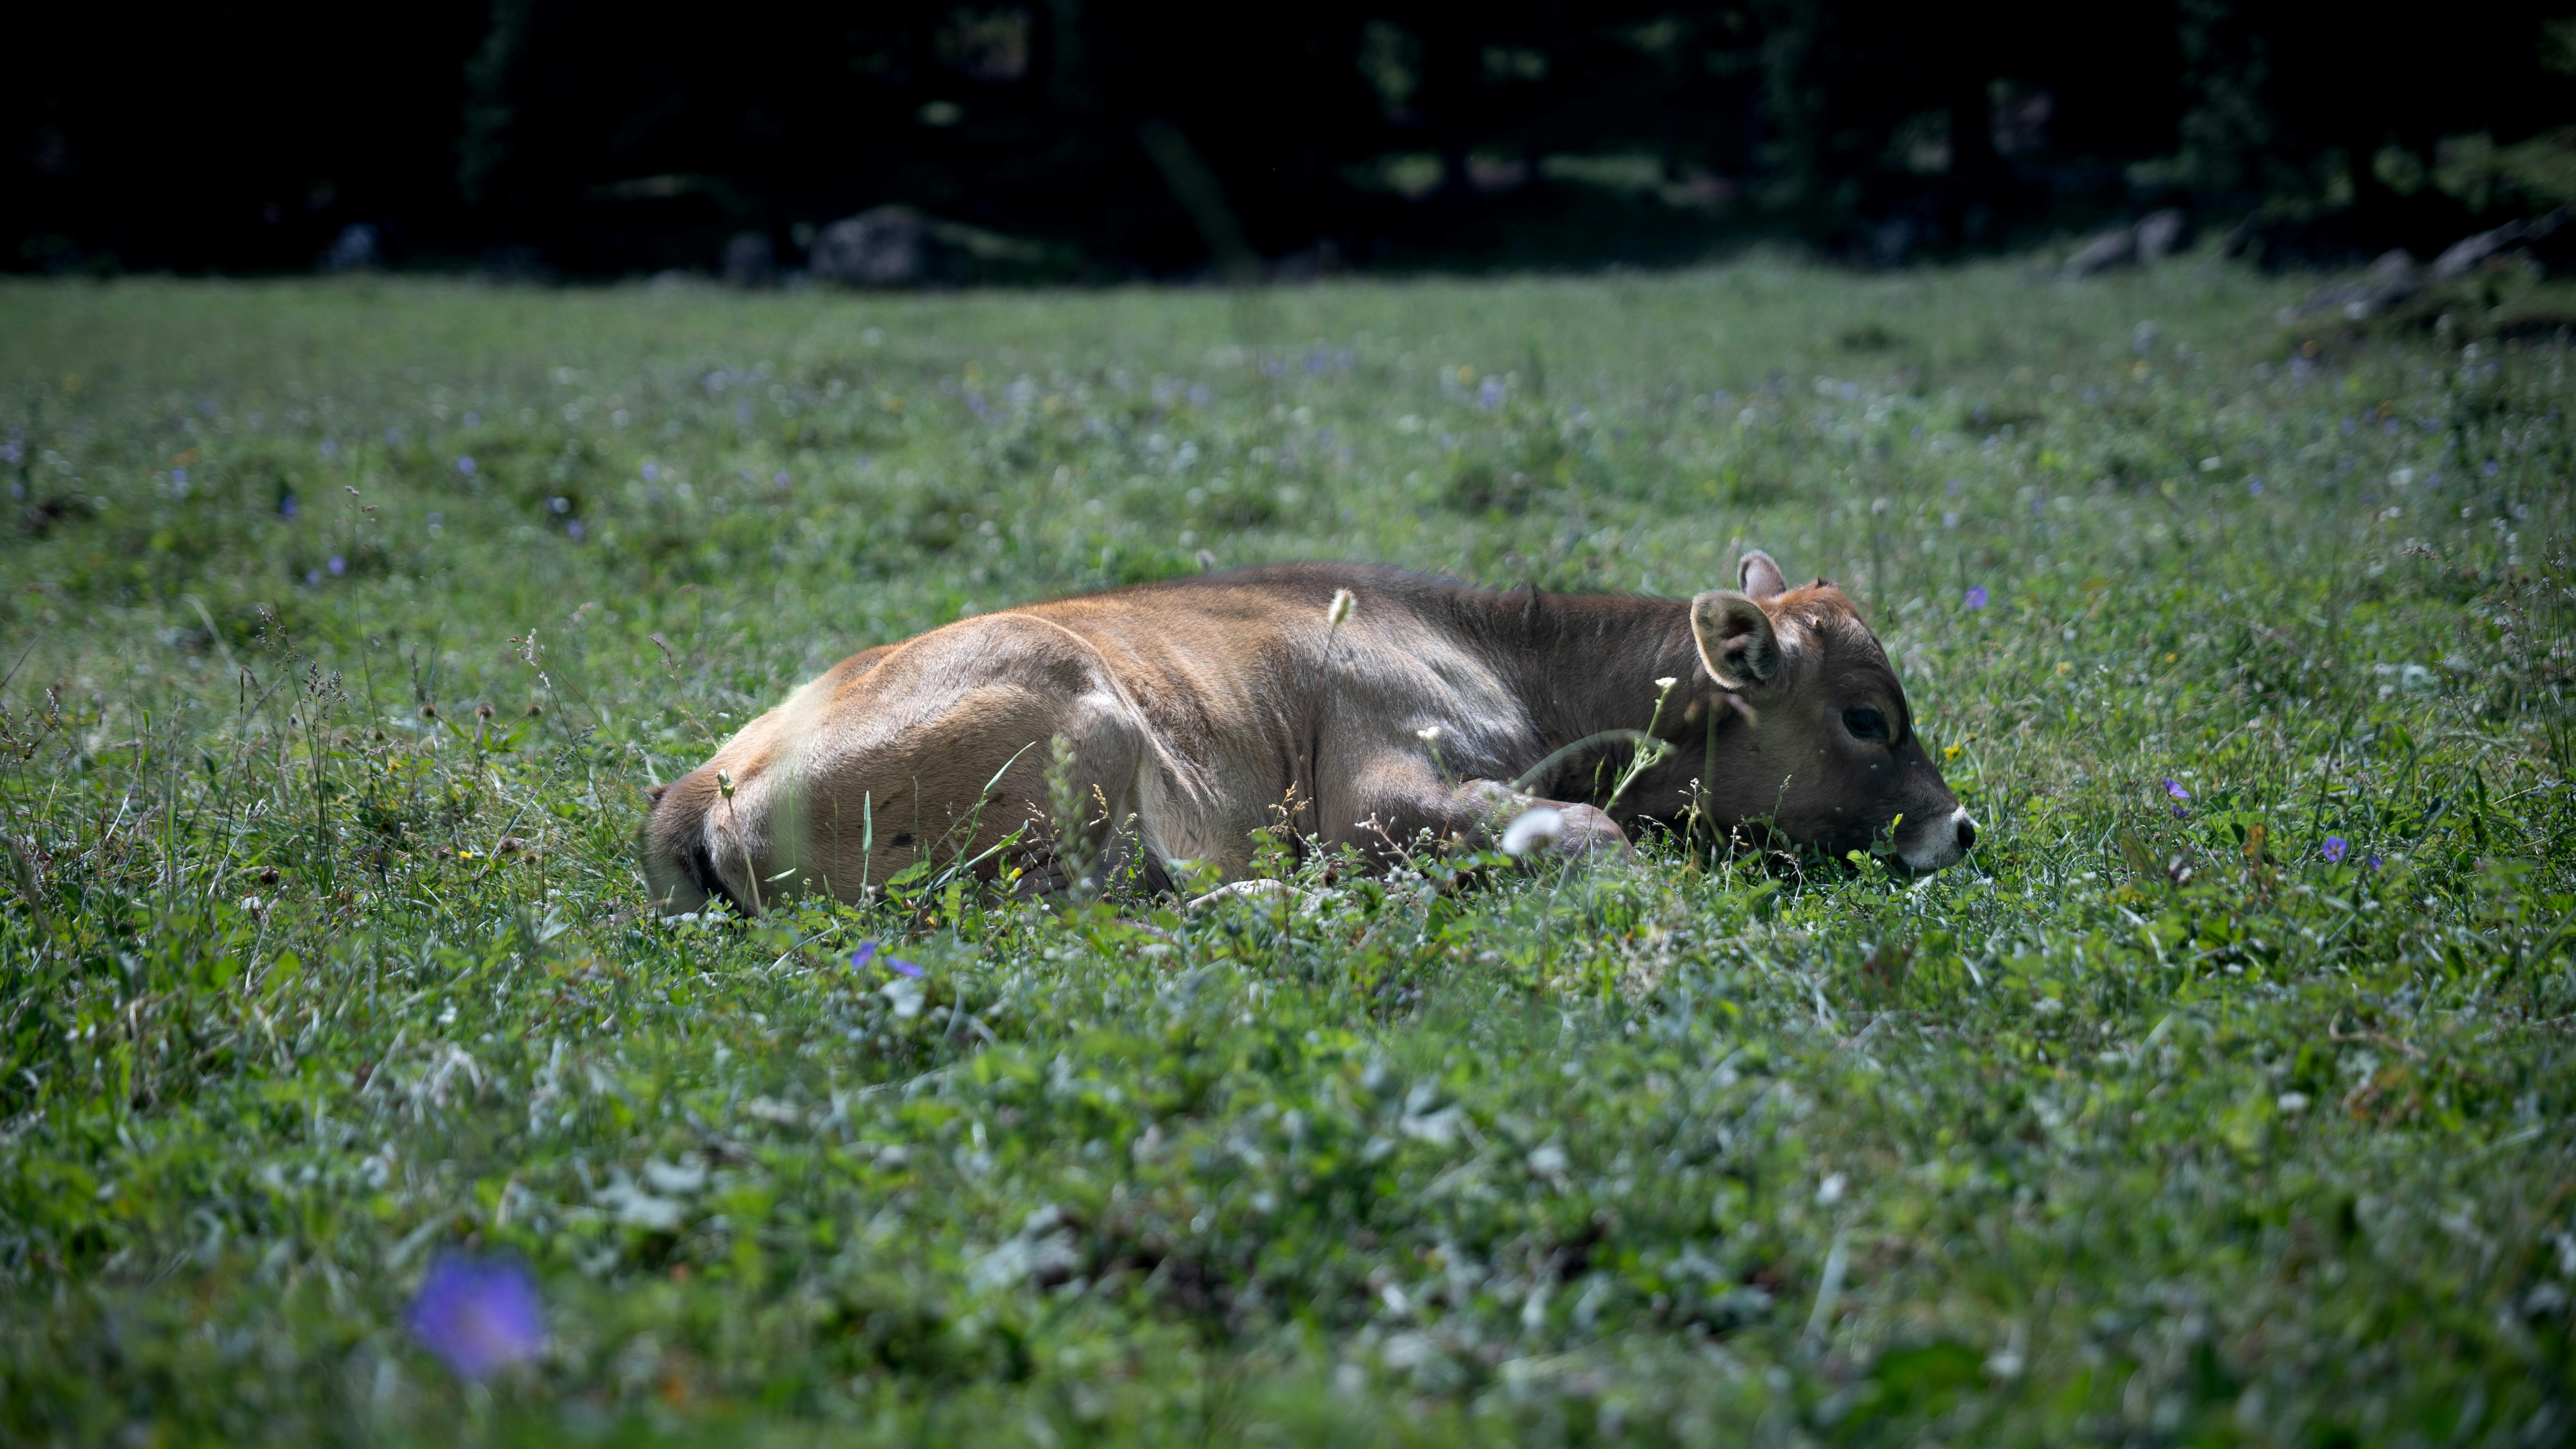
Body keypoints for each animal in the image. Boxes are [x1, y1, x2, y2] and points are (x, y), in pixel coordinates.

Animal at [640, 551, 1975, 914]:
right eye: (1865, 716)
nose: (1957, 827)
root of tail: (713, 775)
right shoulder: (1378, 787)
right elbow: (1587, 832)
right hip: (1085, 739)